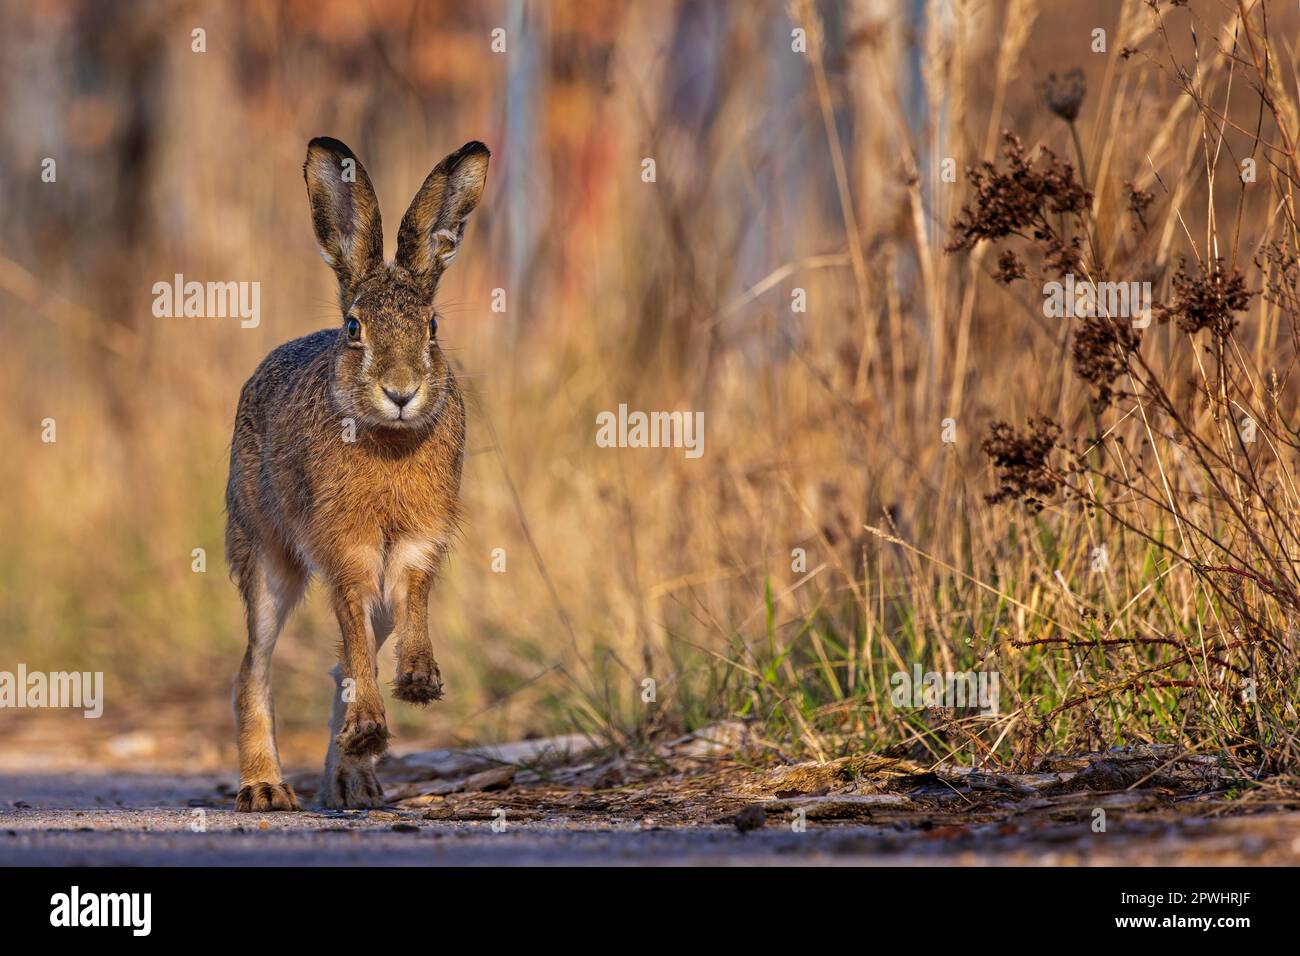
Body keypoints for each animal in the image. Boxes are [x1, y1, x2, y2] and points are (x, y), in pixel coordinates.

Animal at [225, 137, 489, 811]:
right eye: (353, 329)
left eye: (432, 327)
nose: (401, 392)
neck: (387, 437)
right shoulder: (345, 548)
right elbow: (352, 638)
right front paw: (373, 721)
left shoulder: (419, 543)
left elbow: (410, 606)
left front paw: (418, 681)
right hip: (264, 554)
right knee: (253, 669)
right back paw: (265, 787)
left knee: (342, 661)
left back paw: (351, 777)